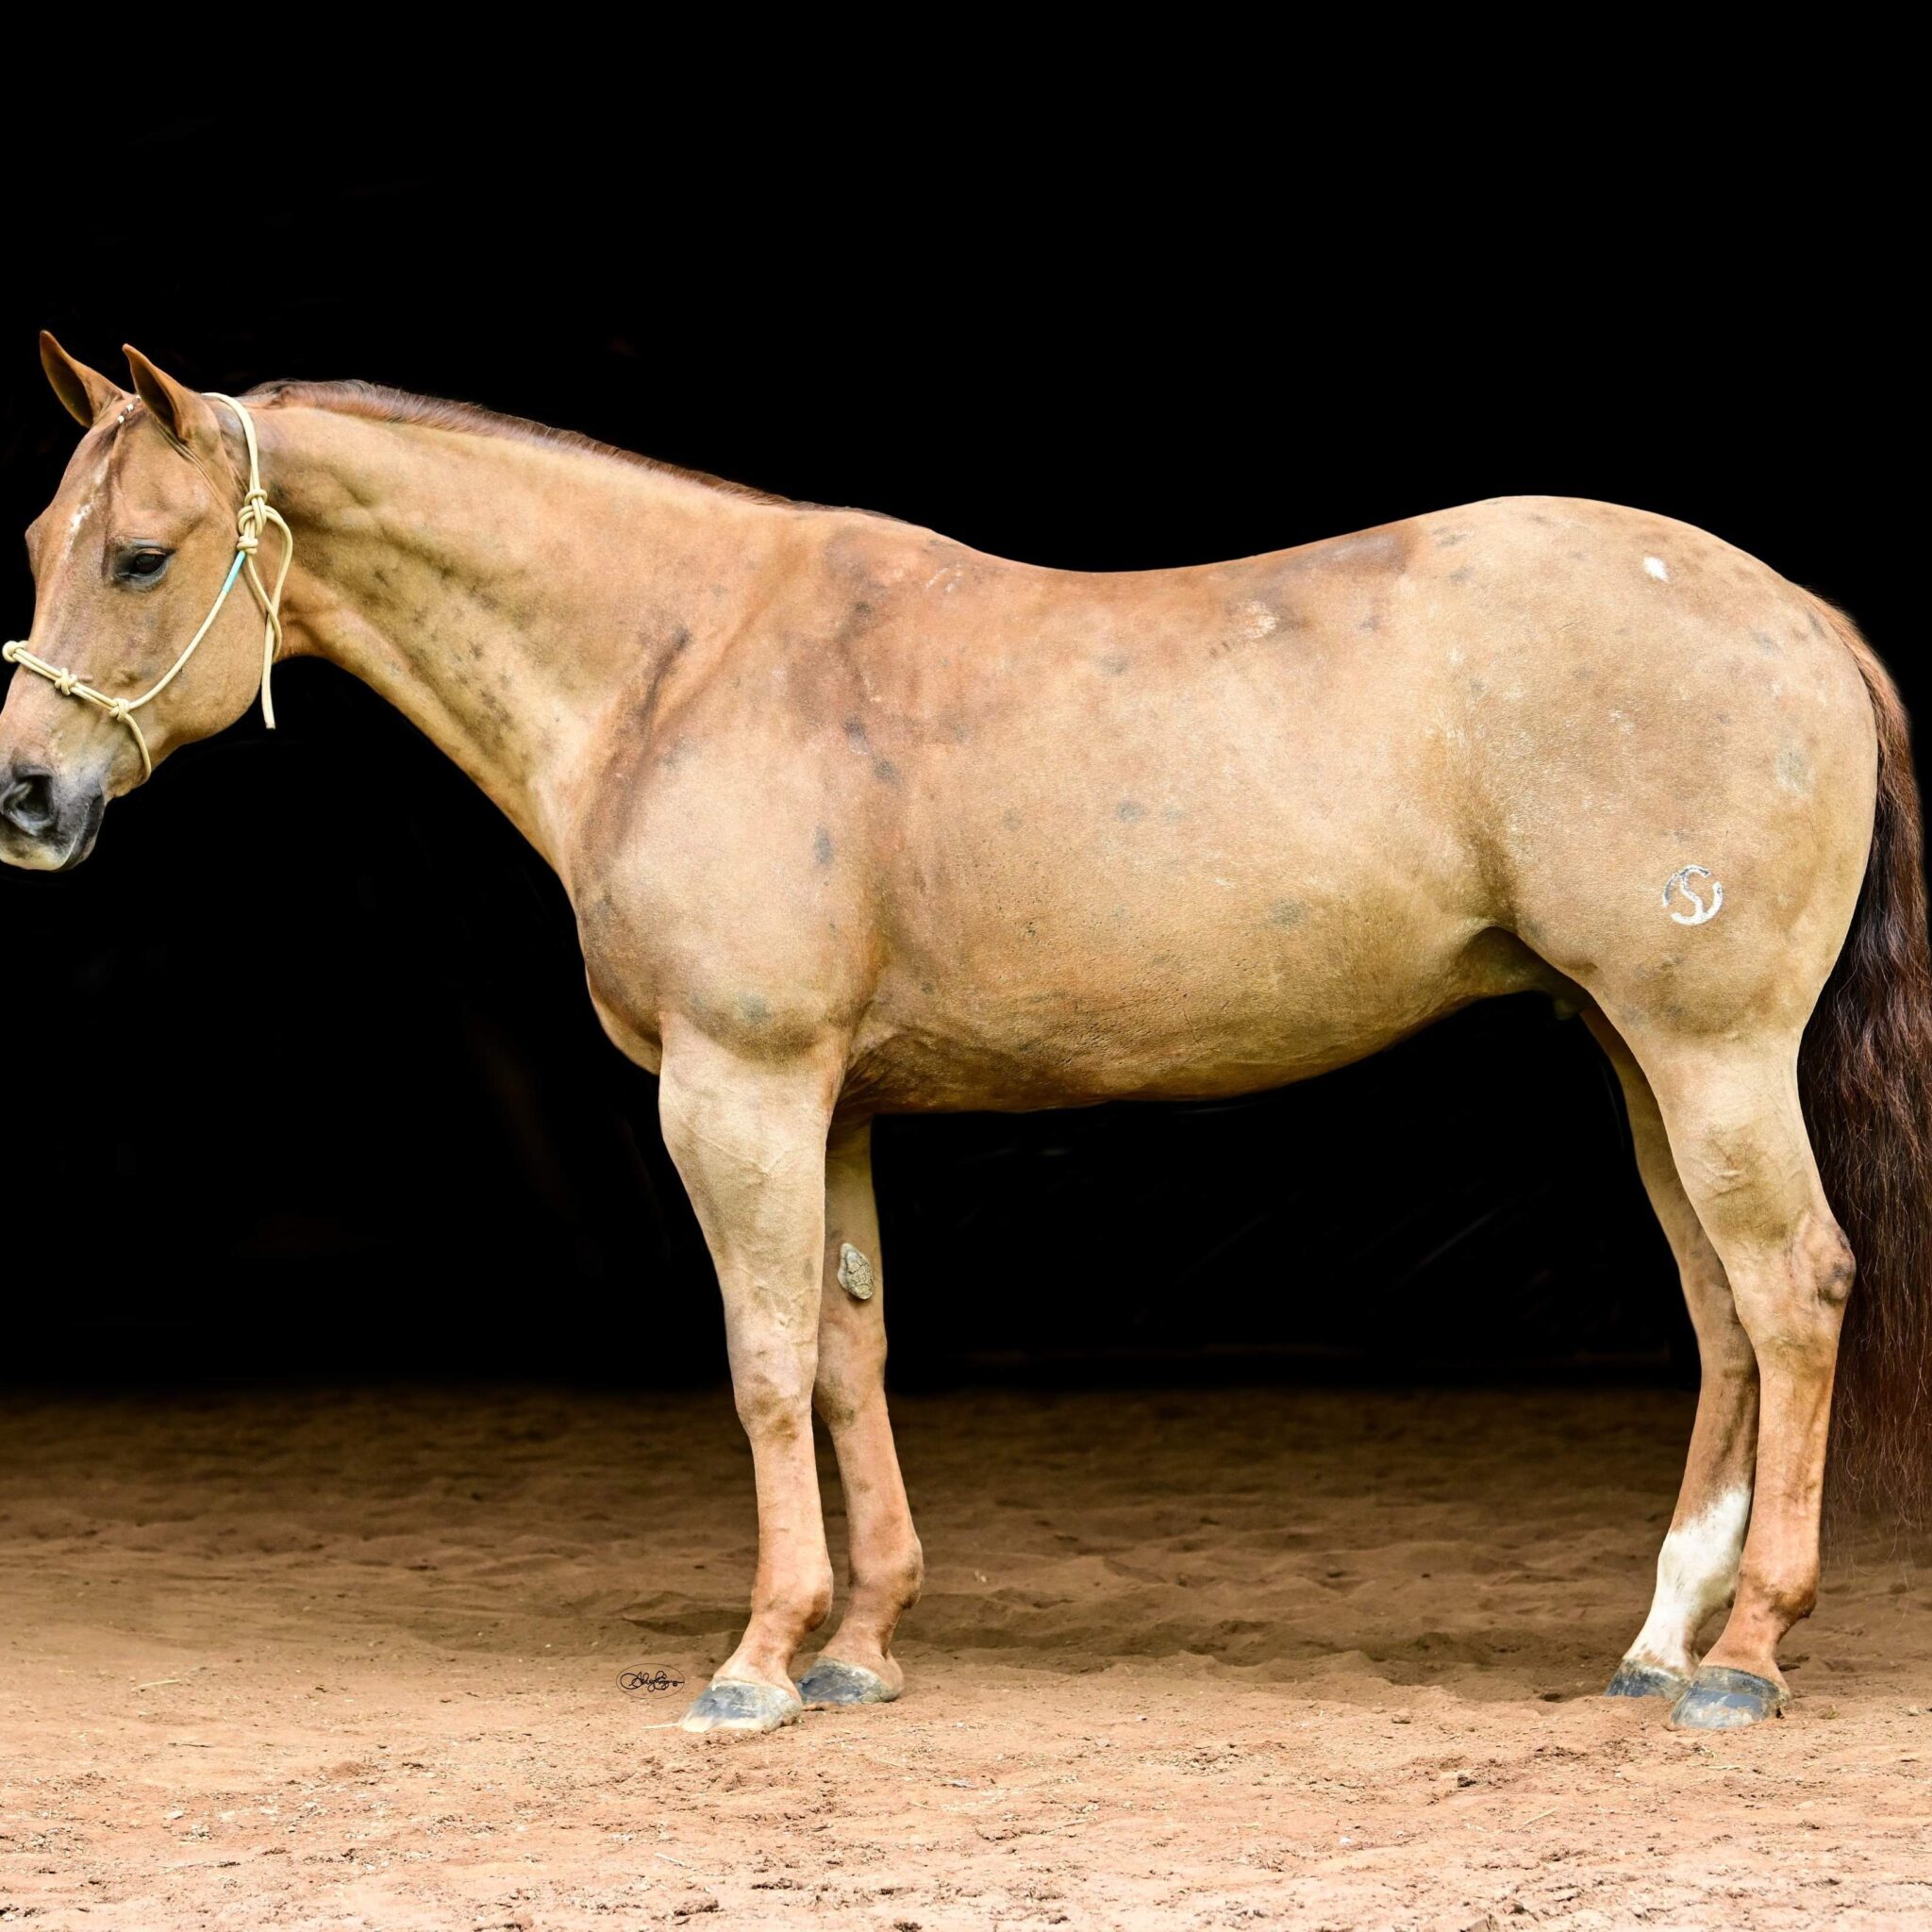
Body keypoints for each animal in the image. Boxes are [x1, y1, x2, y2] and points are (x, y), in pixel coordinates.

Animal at [5, 336, 1927, 1737]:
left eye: (143, 556)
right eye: (40, 546)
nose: (30, 798)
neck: (682, 661)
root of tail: (1801, 616)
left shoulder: (738, 1092)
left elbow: (763, 1356)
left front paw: (759, 1663)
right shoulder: (833, 1105)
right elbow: (849, 1352)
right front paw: (861, 1642)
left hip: (1709, 1054)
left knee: (1793, 1292)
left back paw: (1744, 1657)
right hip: (1635, 1055)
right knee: (1721, 1317)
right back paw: (1661, 1639)